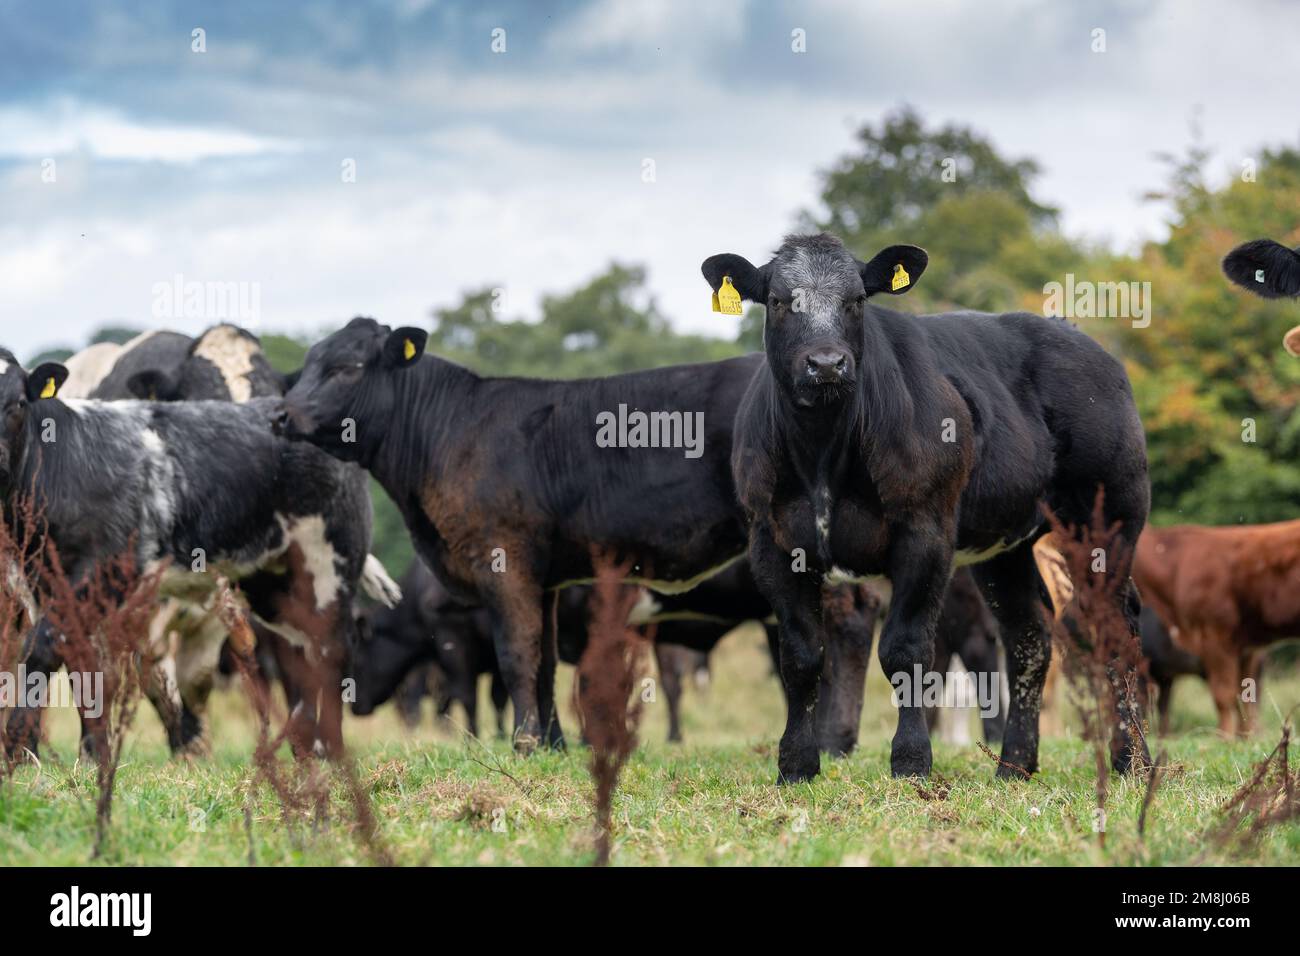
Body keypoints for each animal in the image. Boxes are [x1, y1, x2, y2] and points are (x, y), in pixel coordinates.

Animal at [0, 349, 380, 760]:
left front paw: (18, 750)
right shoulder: (42, 583)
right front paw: (88, 756)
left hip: (329, 563)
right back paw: (305, 750)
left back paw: (330, 750)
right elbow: (81, 666)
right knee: (303, 649)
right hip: (271, 581)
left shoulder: (98, 571)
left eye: (18, 402)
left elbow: (42, 651)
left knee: (332, 649)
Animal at [704, 232, 1151, 782]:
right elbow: (802, 655)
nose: (827, 363)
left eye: (857, 300)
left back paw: (1132, 761)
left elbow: (907, 649)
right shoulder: (772, 542)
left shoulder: (925, 531)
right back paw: (1014, 766)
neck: (824, 451)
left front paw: (912, 760)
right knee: (1028, 636)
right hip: (1005, 547)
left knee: (1116, 627)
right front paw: (796, 765)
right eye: (779, 301)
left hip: (1108, 519)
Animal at [1133, 522, 1297, 737]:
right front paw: (1245, 738)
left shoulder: (1215, 636)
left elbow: (1224, 697)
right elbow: (1244, 697)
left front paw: (1225, 738)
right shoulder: (1247, 650)